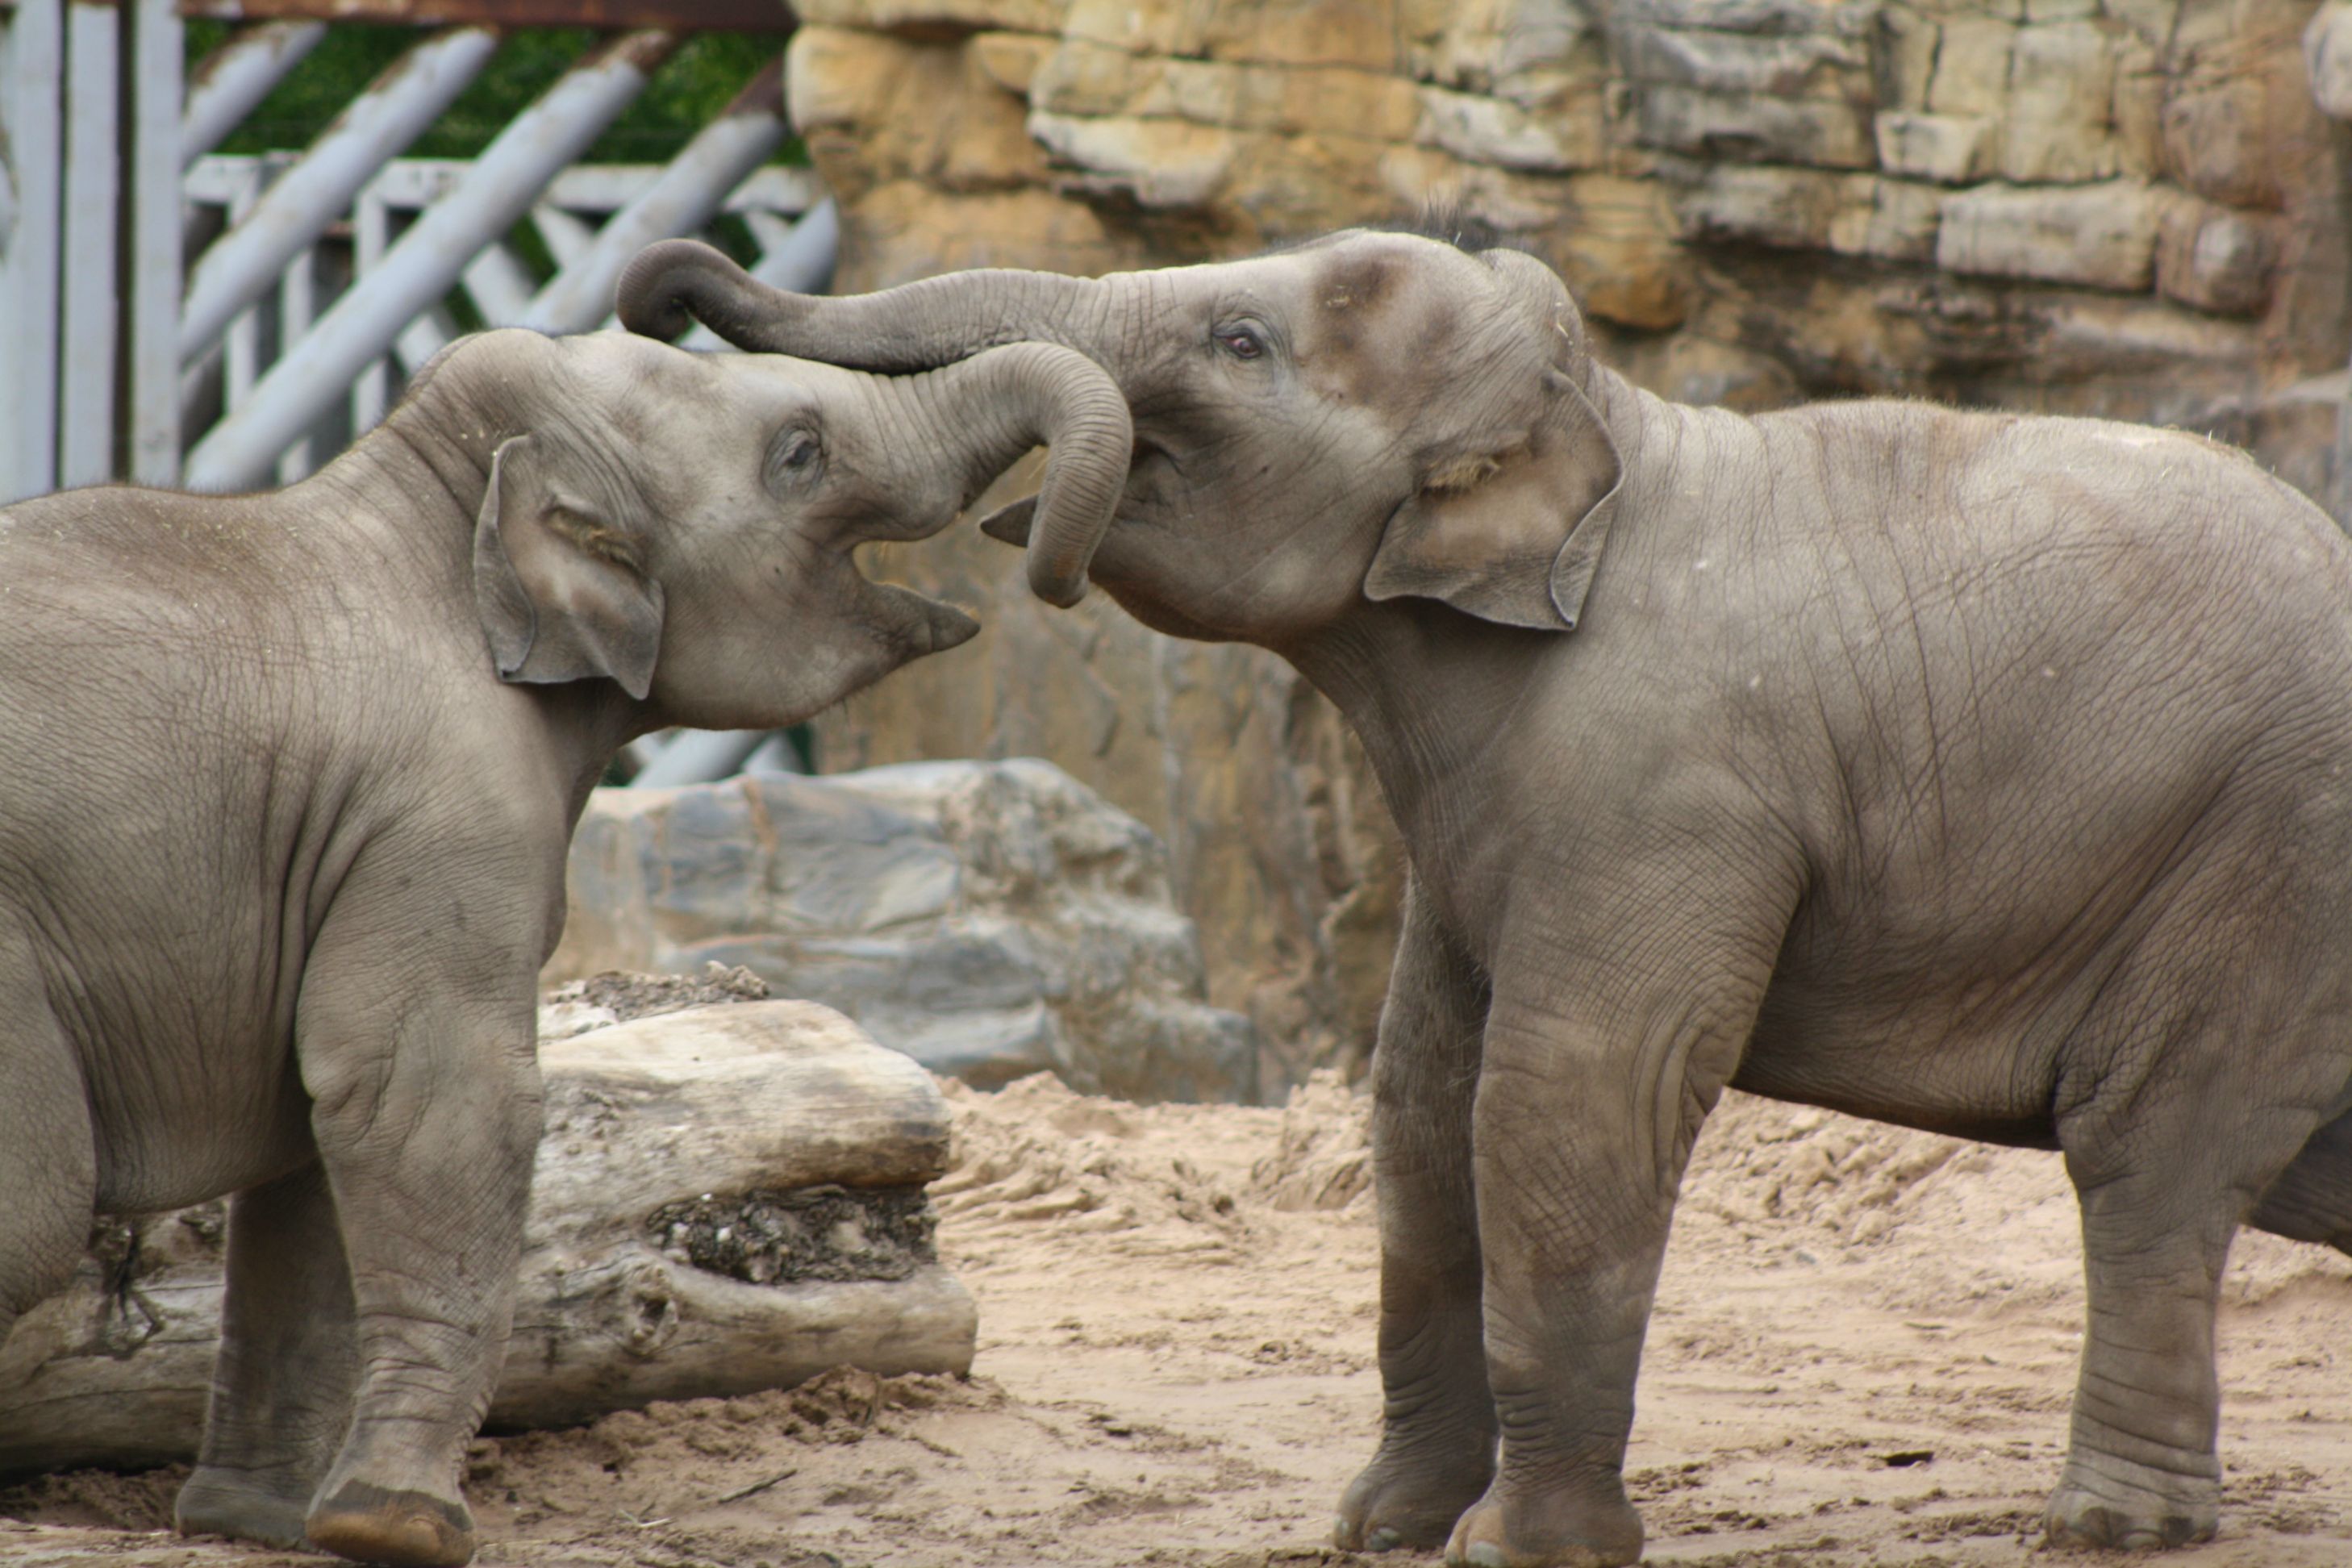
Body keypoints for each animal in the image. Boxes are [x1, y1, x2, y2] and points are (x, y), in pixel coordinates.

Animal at [0, 326, 1127, 1567]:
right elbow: (425, 1098)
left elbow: (315, 1140)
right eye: (800, 454)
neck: (436, 509)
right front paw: (402, 1527)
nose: (1047, 562)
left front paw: (266, 1525)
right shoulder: (447, 813)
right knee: (38, 1211)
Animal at [618, 229, 2352, 1567]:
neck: (1610, 431)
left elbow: (1560, 1104)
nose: (653, 288)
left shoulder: (1660, 791)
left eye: (1241, 342)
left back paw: (2110, 1526)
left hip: (2259, 863)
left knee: (2145, 1150)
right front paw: (1378, 1527)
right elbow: (1418, 1099)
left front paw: (1521, 1547)